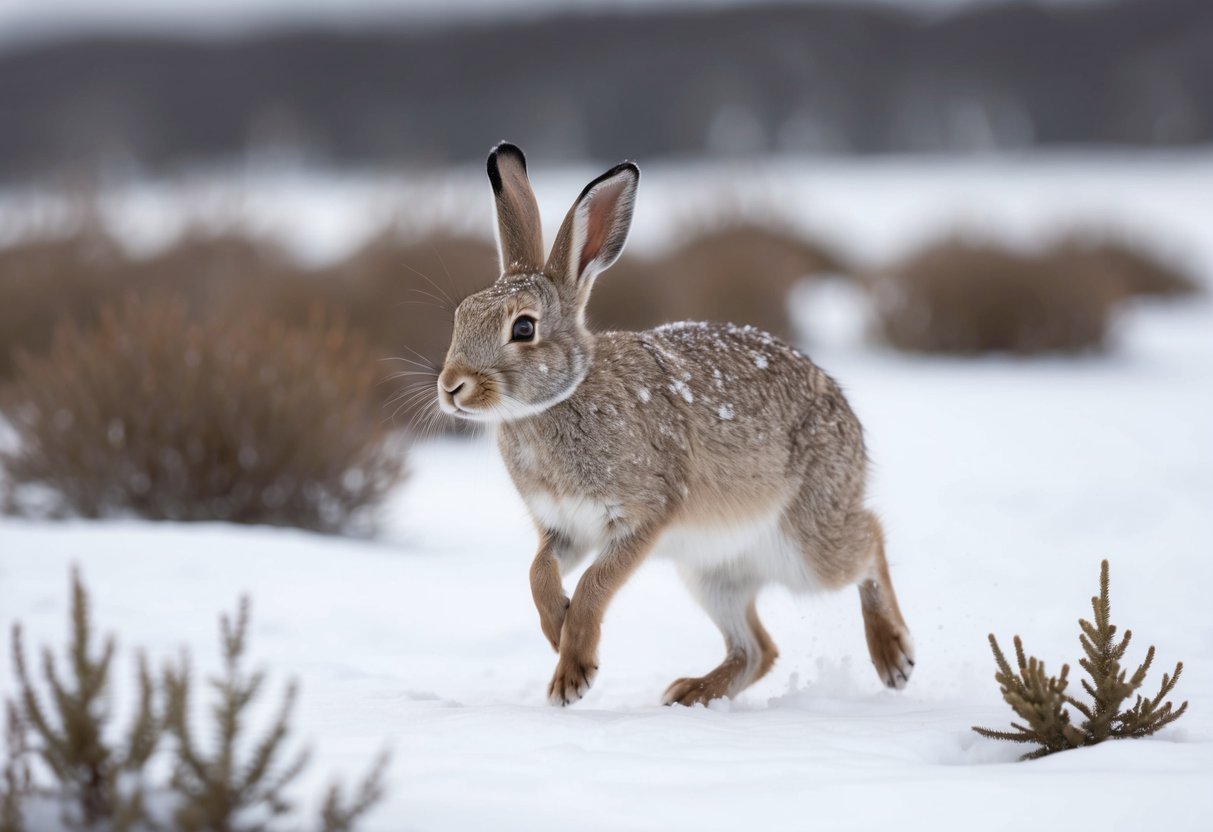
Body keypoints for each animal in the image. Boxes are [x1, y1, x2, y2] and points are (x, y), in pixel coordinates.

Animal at [437, 142, 914, 706]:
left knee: (869, 541)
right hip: (712, 573)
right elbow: (538, 573)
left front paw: (573, 673)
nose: (451, 386)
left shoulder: (646, 513)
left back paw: (894, 656)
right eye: (462, 316)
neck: (562, 398)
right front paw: (557, 629)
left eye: (524, 328)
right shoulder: (564, 528)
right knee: (758, 649)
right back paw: (691, 694)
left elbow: (597, 584)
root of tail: (849, 421)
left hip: (807, 544)